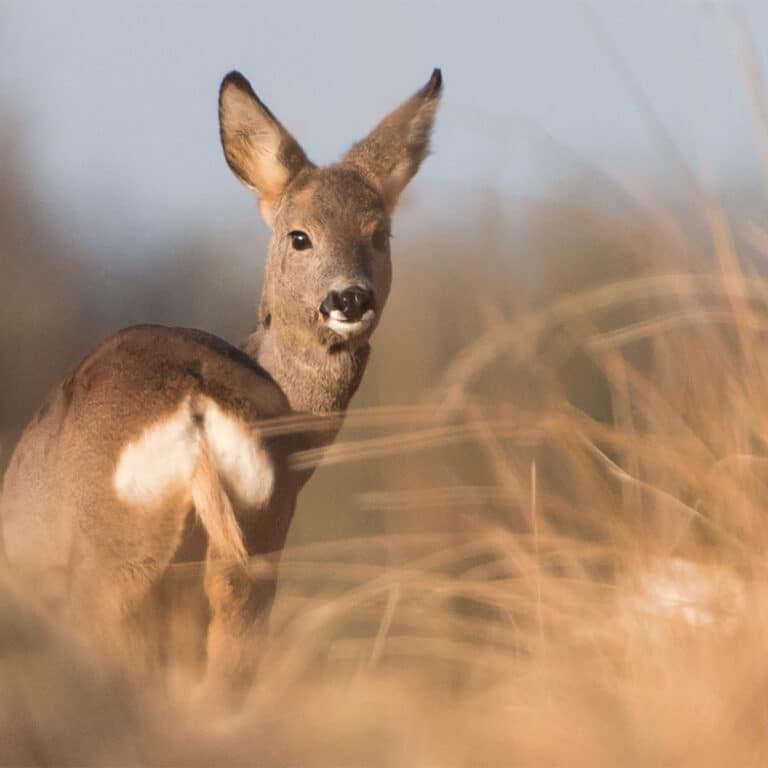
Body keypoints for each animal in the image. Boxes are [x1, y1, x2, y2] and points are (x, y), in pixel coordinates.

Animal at [0, 68, 442, 703]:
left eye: (379, 233)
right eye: (300, 236)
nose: (350, 298)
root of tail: (193, 407)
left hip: (114, 572)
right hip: (251, 554)